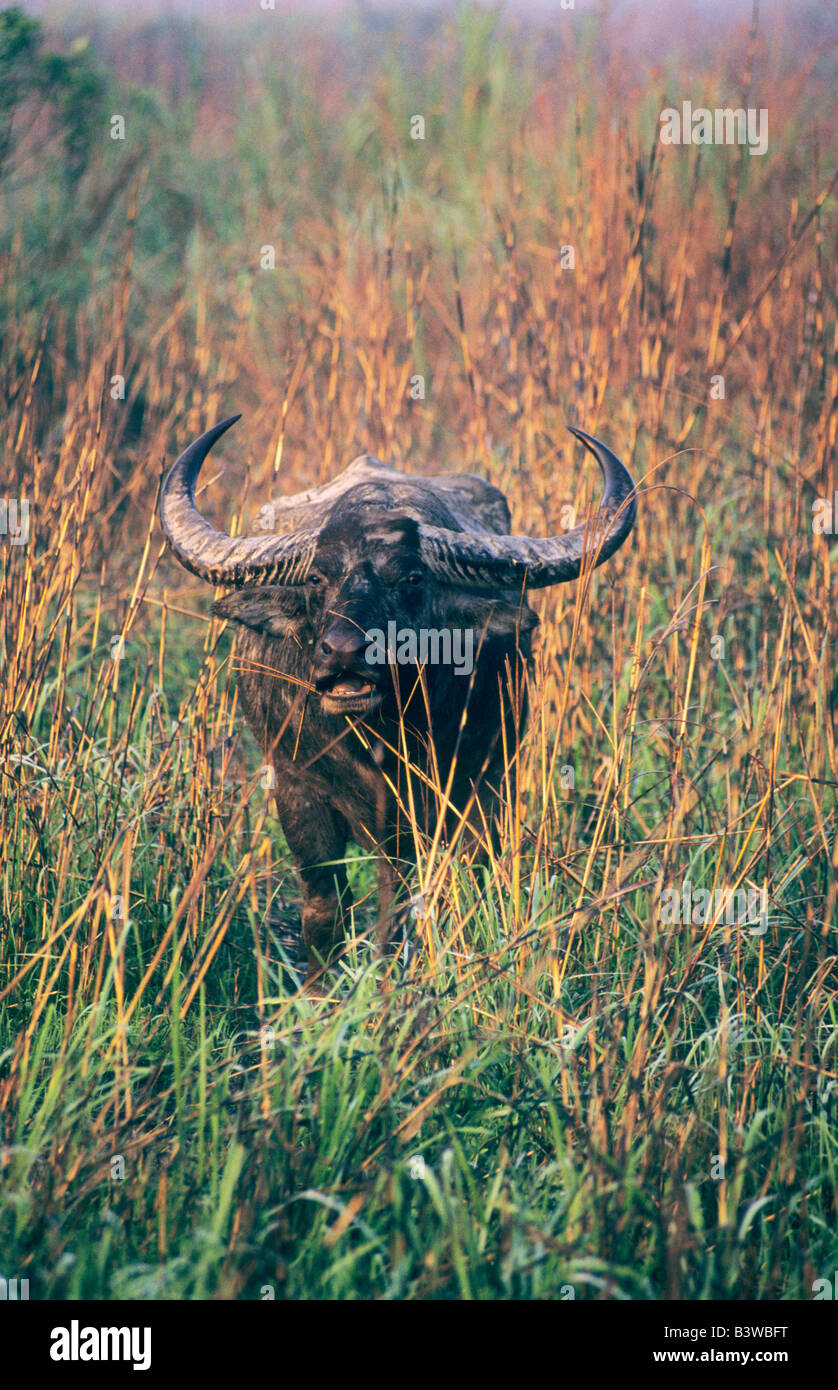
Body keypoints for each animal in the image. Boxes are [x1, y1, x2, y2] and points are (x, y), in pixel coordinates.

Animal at [160, 416, 636, 985]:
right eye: (317, 578)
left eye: (411, 578)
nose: (344, 652)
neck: (377, 738)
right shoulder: (297, 790)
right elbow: (324, 905)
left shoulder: (462, 798)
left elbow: (409, 901)